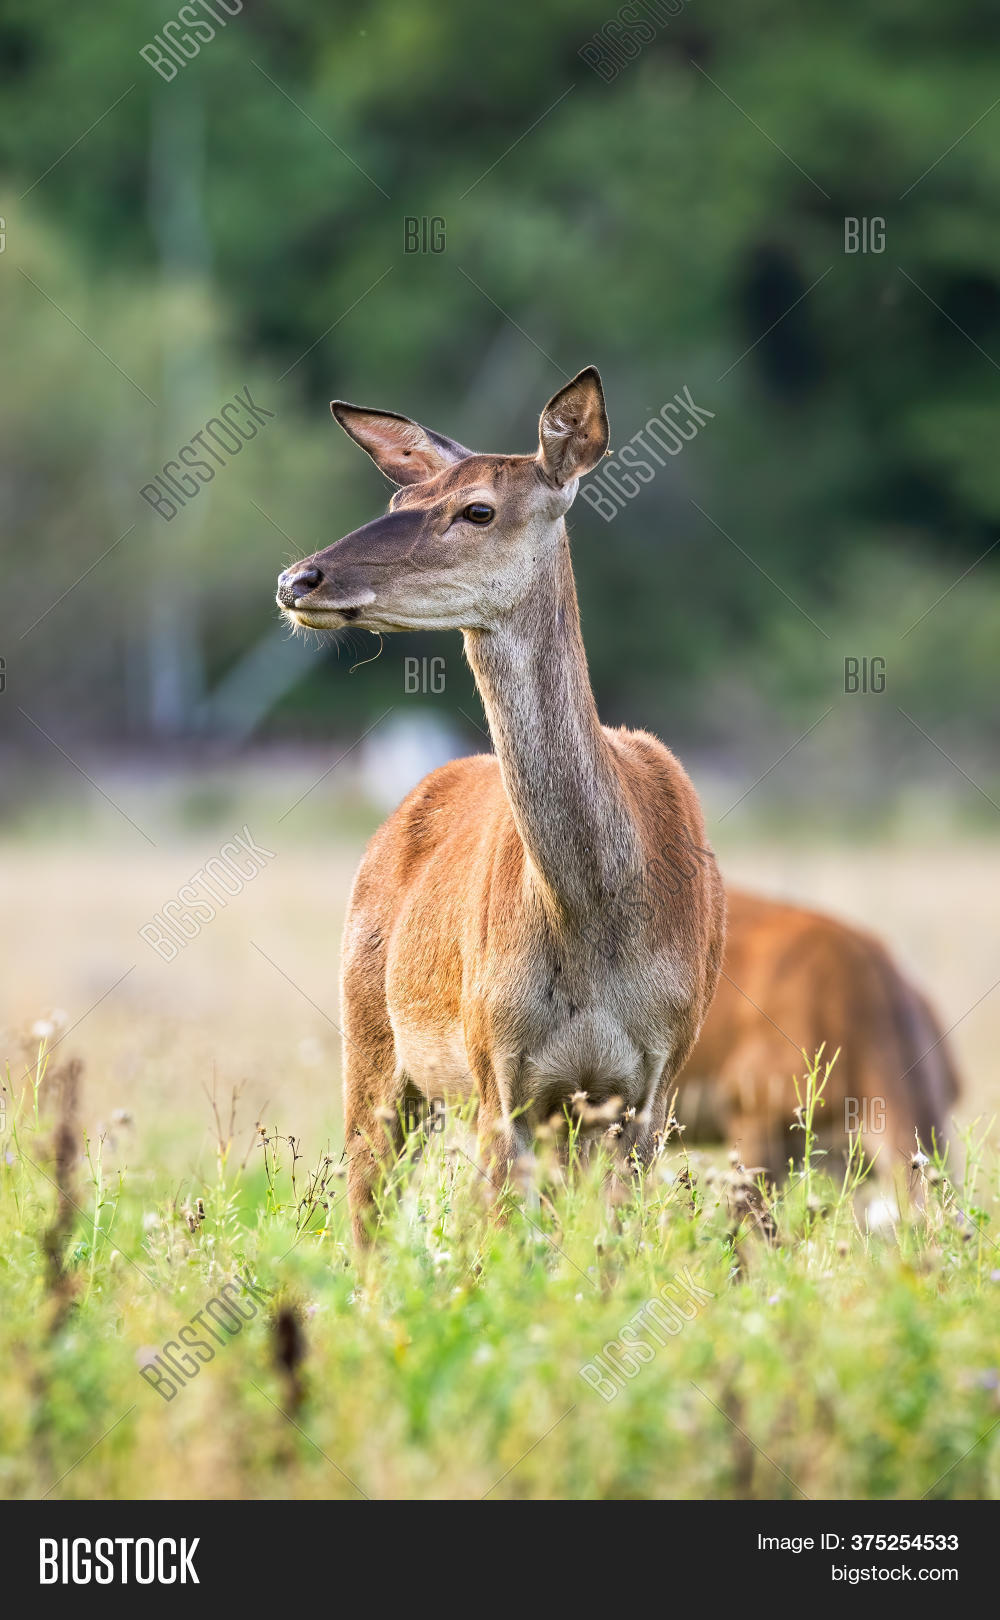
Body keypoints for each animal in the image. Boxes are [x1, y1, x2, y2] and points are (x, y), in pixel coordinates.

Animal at [275, 367, 726, 1243]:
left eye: (477, 509)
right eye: (398, 500)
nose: (297, 579)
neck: (595, 914)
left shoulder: (656, 1081)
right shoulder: (500, 1071)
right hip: (373, 1042)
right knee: (366, 1217)